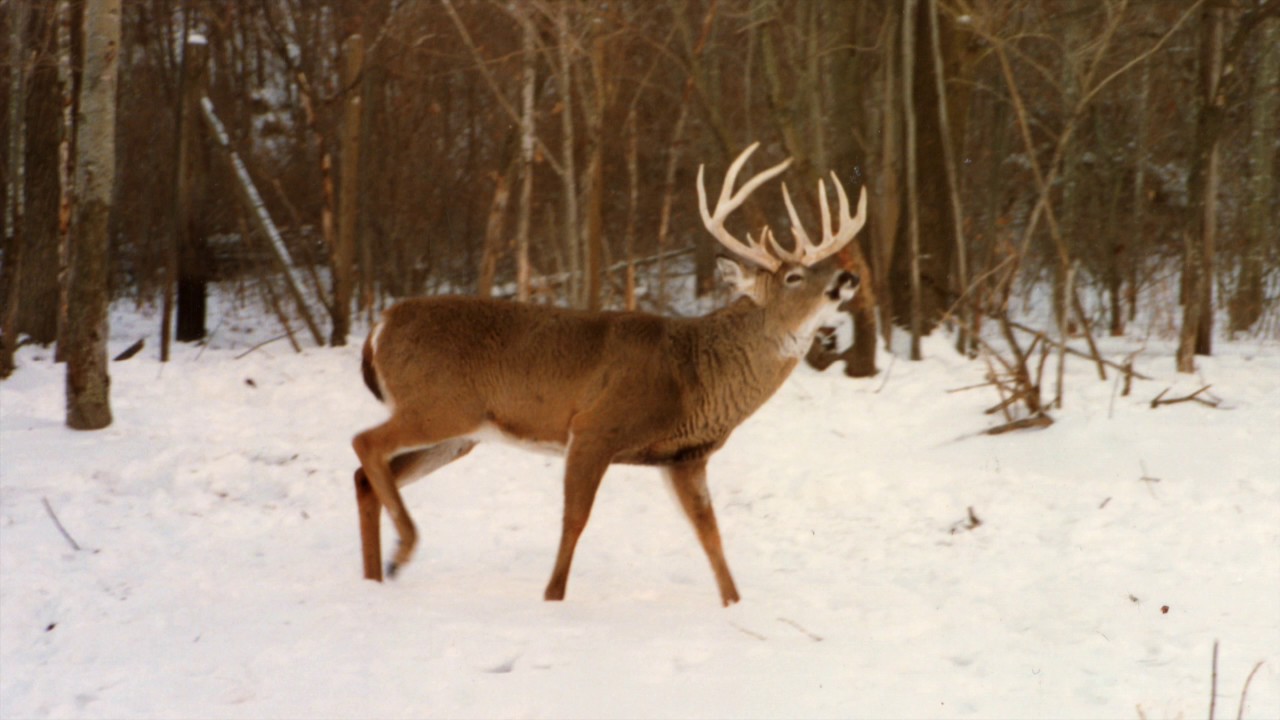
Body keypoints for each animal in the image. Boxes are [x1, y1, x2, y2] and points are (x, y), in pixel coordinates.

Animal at [351, 142, 867, 606]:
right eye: (793, 277)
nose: (848, 278)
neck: (694, 375)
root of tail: (380, 326)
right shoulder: (594, 427)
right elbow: (575, 520)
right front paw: (553, 598)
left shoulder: (686, 457)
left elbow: (710, 534)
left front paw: (734, 605)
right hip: (438, 406)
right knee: (364, 443)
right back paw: (403, 550)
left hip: (460, 433)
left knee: (367, 477)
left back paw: (377, 576)